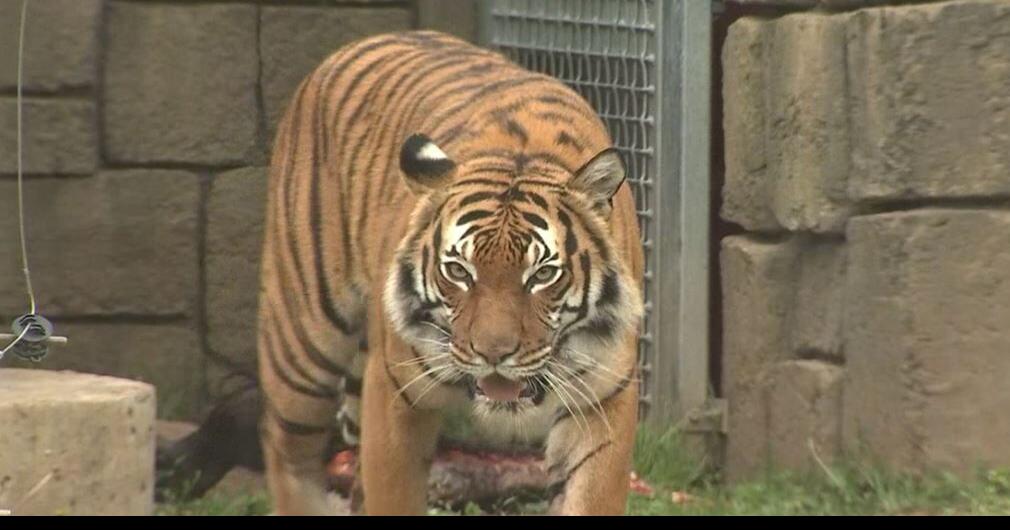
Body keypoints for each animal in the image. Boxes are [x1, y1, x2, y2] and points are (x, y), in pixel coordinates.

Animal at [257, 30, 645, 516]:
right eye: (459, 271)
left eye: (542, 275)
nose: (494, 354)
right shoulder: (395, 392)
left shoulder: (603, 398)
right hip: (304, 345)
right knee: (286, 452)